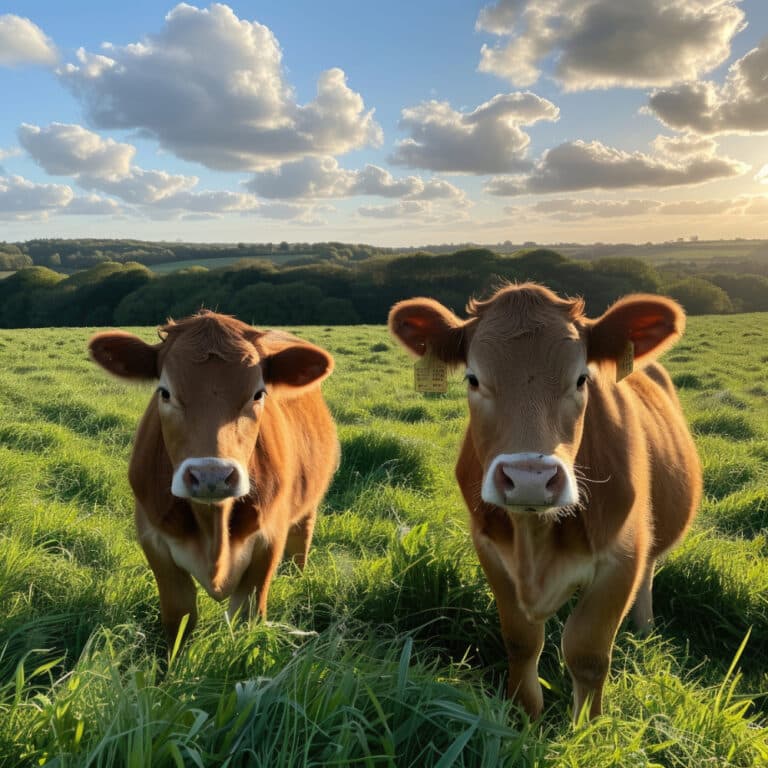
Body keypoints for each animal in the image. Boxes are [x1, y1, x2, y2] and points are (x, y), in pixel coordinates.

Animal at [89, 311, 339, 647]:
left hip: (308, 506)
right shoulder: (154, 540)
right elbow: (178, 617)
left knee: (301, 540)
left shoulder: (269, 540)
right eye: (164, 392)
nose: (212, 476)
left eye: (258, 393)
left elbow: (247, 617)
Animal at [388, 284, 701, 721]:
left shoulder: (622, 559)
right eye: (473, 379)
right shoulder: (490, 550)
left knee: (648, 578)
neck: (535, 538)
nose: (529, 480)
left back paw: (644, 628)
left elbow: (587, 652)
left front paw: (587, 727)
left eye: (582, 379)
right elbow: (521, 640)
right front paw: (524, 717)